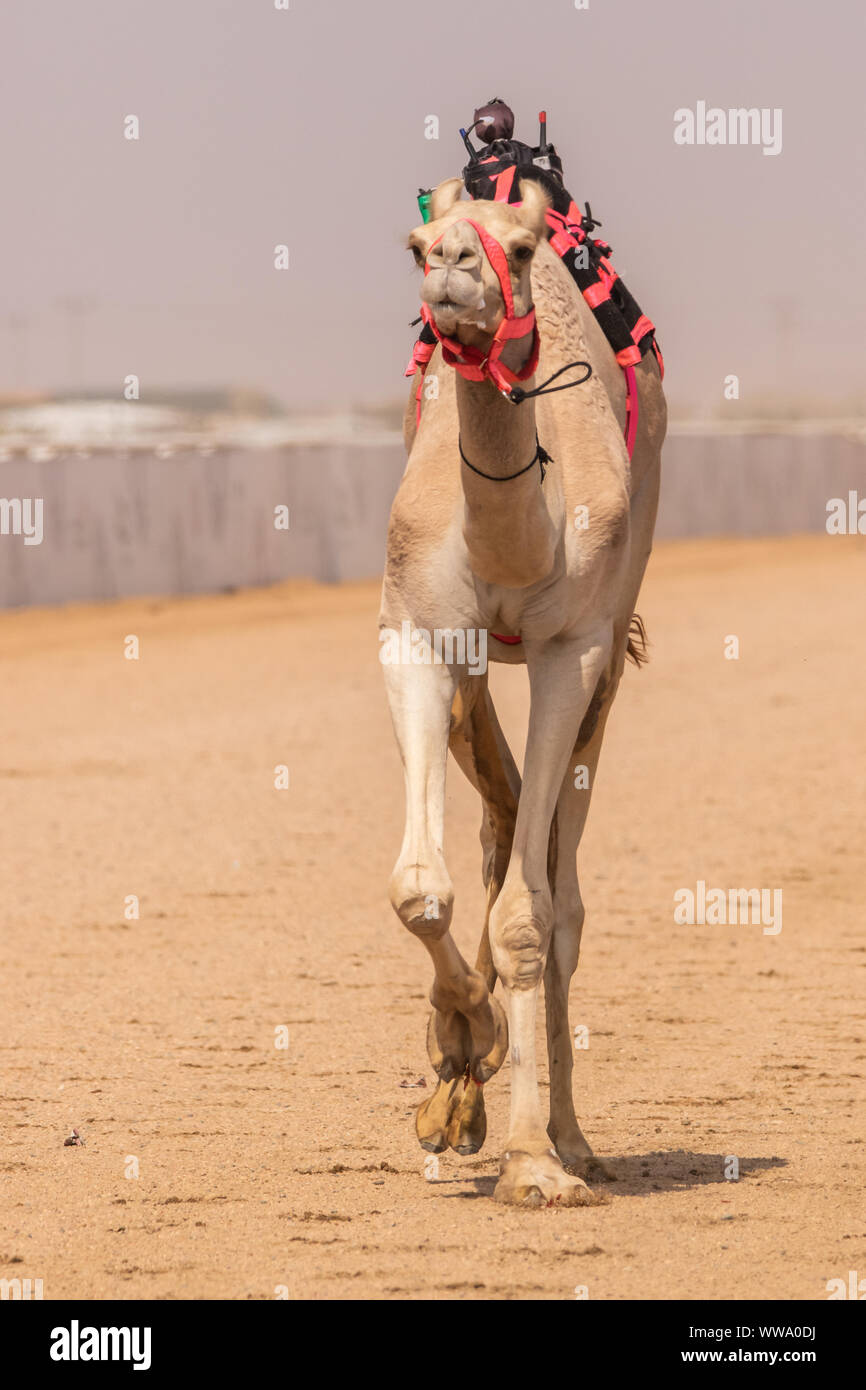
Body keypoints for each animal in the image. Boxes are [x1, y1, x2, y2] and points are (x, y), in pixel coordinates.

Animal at [379, 176, 666, 1206]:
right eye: (416, 241)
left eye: (524, 244)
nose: (451, 266)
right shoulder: (416, 635)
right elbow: (420, 889)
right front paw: (463, 1043)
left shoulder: (569, 651)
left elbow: (532, 918)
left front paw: (535, 1161)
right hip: (475, 675)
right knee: (502, 825)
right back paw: (463, 1091)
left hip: (607, 665)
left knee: (559, 888)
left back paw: (573, 1140)